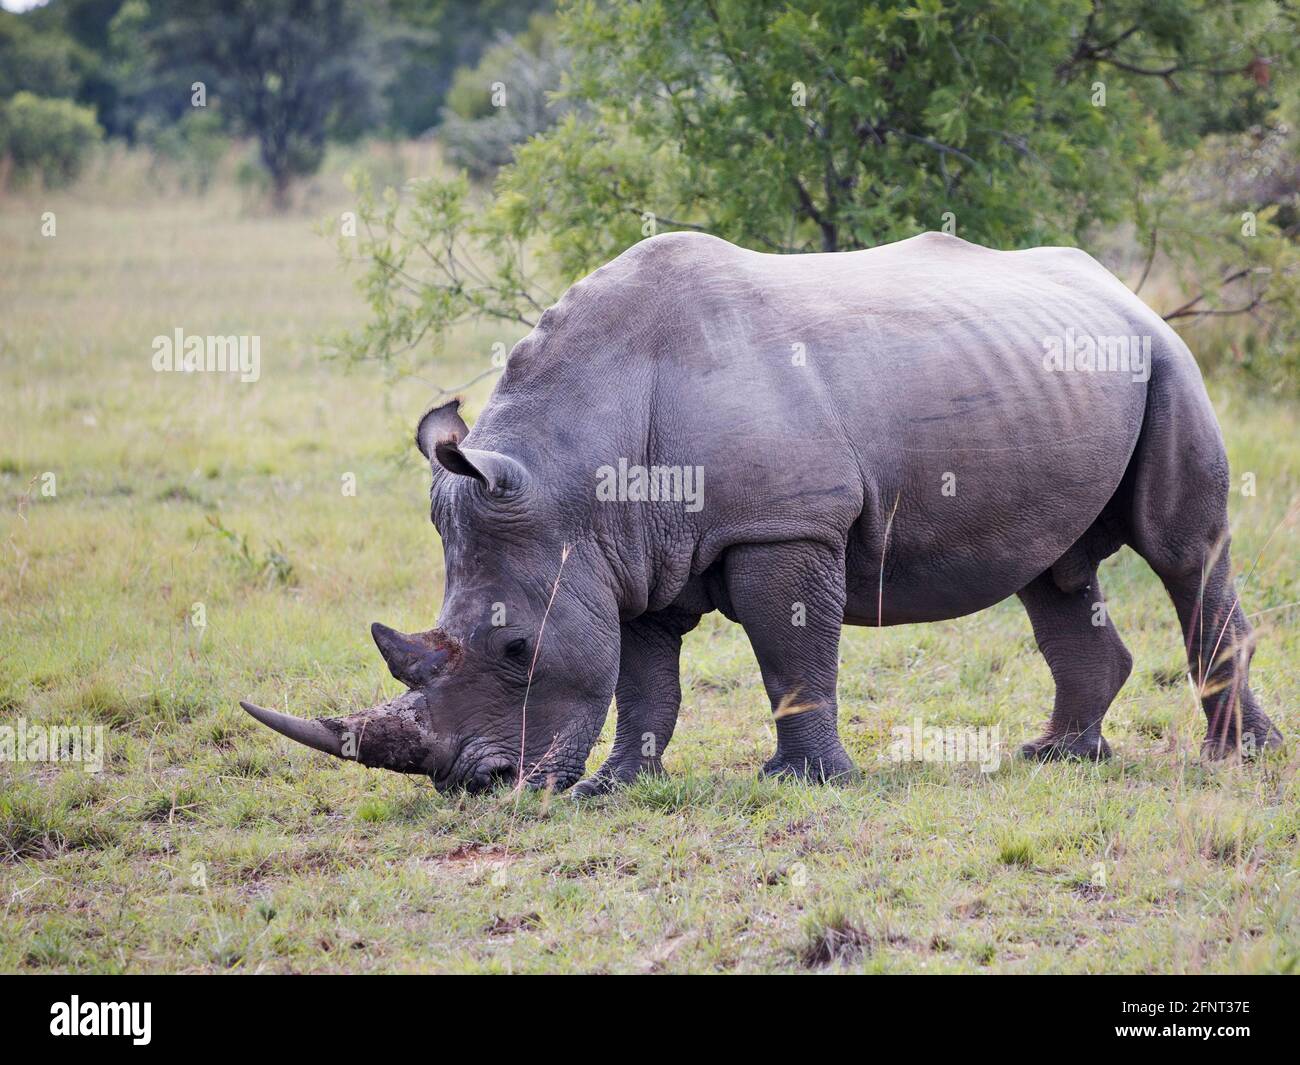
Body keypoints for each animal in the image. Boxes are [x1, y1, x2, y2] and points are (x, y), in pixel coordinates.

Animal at [241, 231, 1282, 795]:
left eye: (515, 648)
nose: (480, 786)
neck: (572, 470)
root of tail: (1117, 287)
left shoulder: (786, 524)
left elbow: (791, 652)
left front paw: (805, 783)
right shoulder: (629, 555)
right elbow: (644, 678)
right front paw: (617, 788)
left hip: (1168, 362)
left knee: (1183, 554)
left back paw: (1238, 760)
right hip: (1062, 373)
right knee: (1053, 572)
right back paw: (1057, 757)